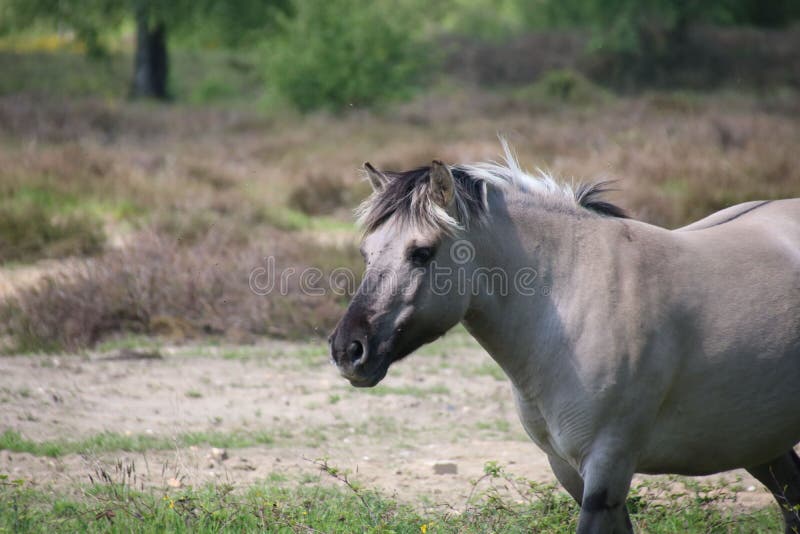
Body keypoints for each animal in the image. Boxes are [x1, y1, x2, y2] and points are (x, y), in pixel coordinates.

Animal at [328, 141, 800, 533]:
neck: (569, 308)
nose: (347, 350)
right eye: (366, 253)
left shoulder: (607, 468)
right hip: (761, 443)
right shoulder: (569, 471)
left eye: (422, 252)